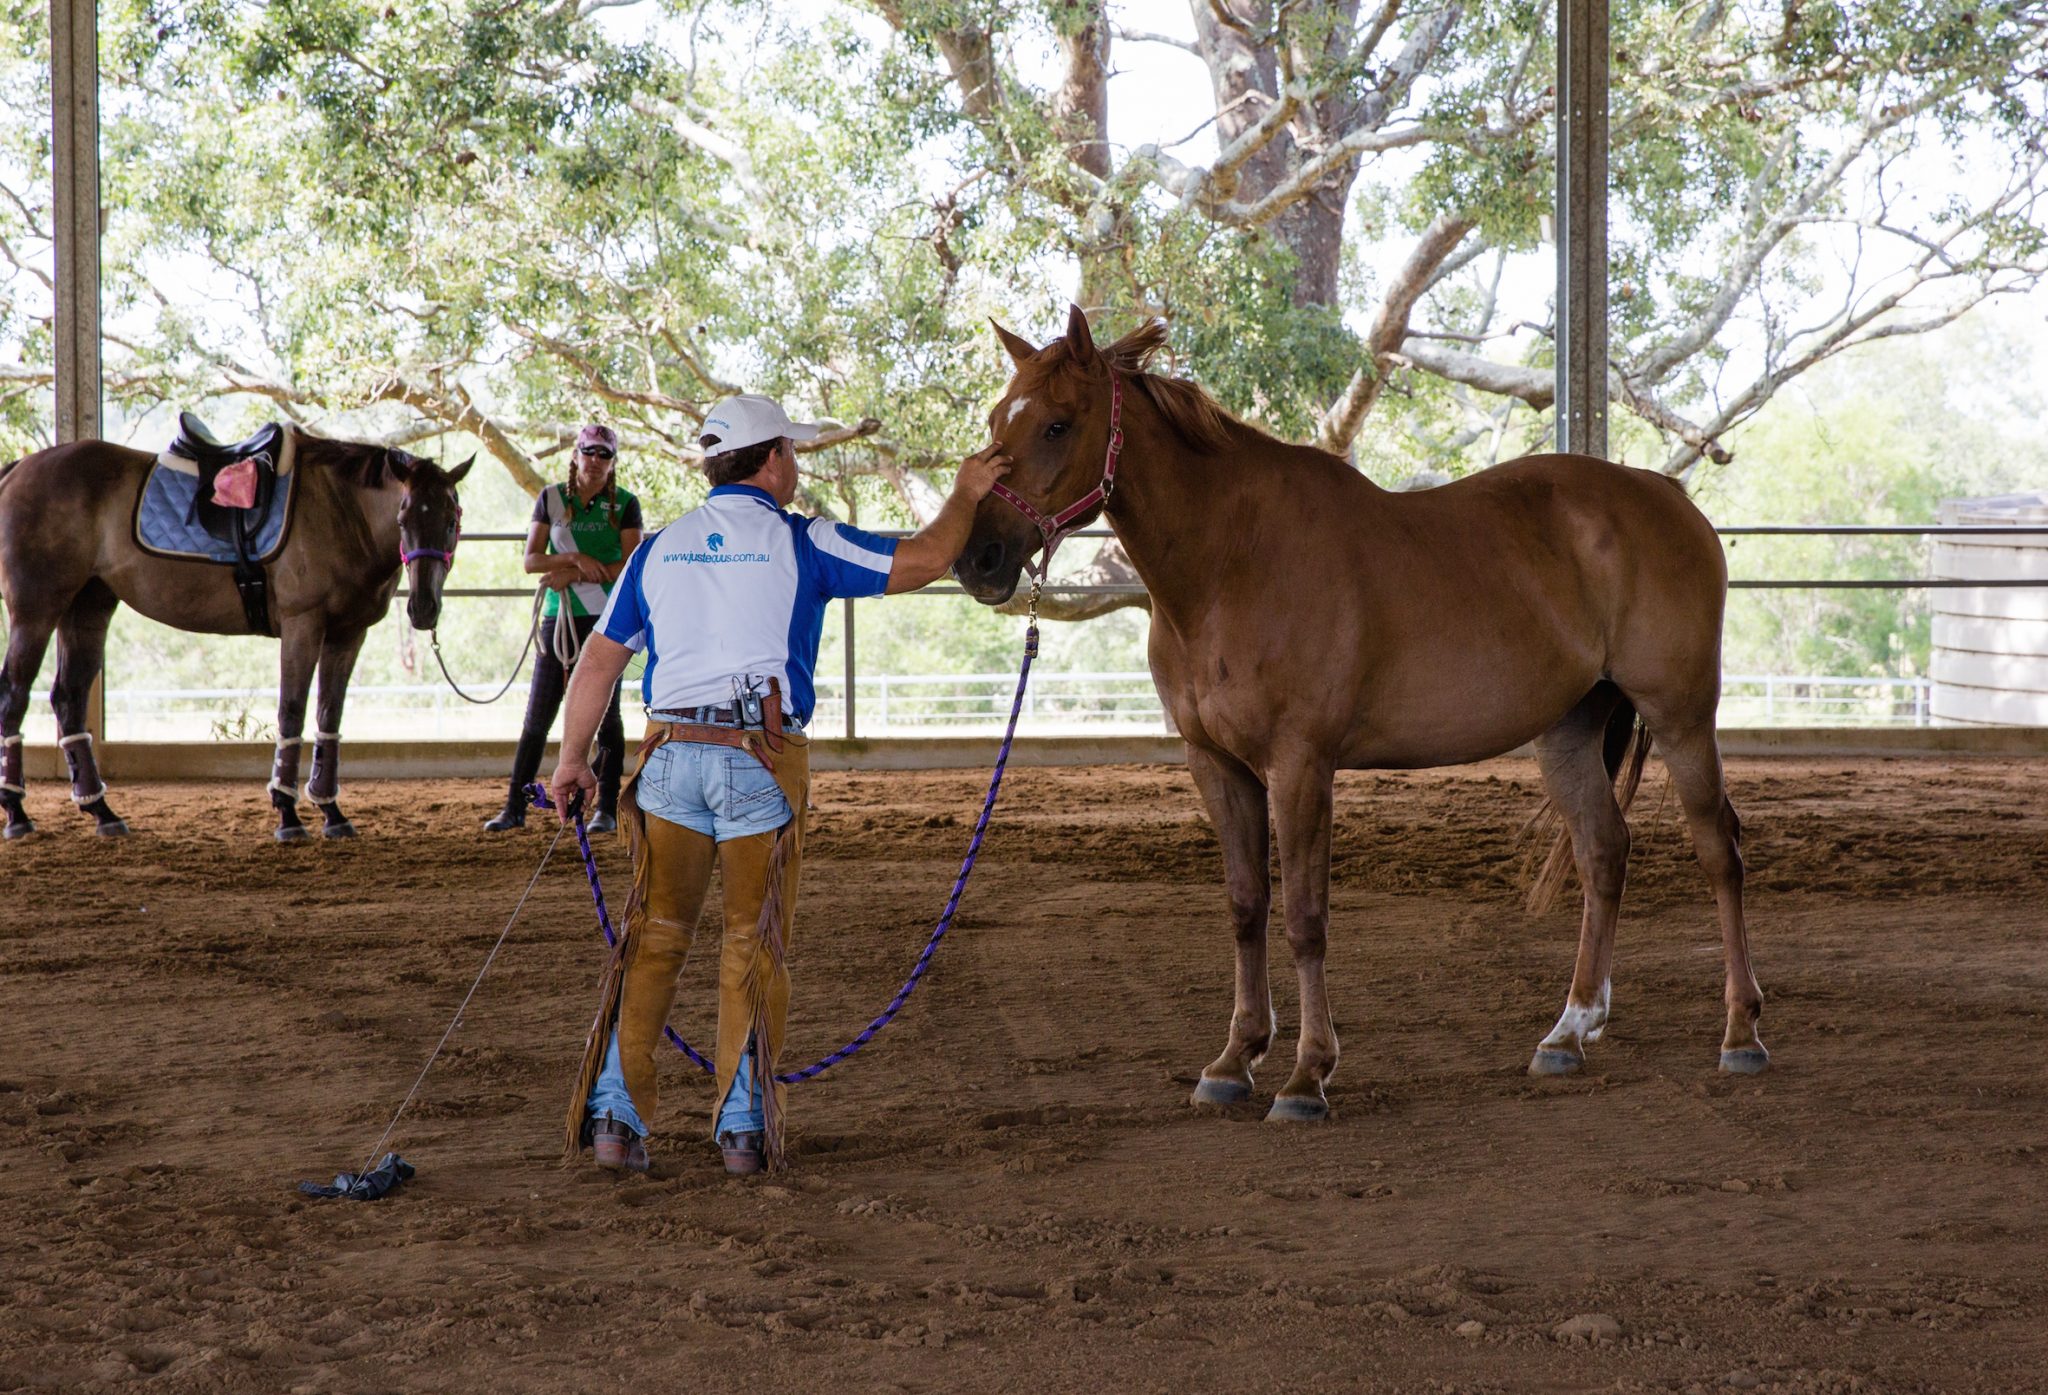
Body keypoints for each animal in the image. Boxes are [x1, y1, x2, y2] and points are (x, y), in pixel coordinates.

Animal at [0, 428, 470, 842]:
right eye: (403, 517)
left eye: (452, 521)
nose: (423, 609)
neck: (341, 511)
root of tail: (21, 468)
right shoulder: (303, 625)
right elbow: (292, 712)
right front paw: (287, 814)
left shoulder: (347, 635)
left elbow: (328, 718)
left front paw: (331, 811)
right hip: (36, 611)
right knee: (14, 696)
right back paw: (17, 813)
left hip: (87, 608)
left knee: (68, 699)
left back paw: (101, 811)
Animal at [955, 306, 1764, 1121]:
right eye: (997, 420)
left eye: (1057, 425)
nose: (977, 558)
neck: (1231, 561)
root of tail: (1668, 495)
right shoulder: (1216, 765)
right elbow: (1247, 906)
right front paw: (1234, 1059)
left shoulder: (1300, 766)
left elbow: (1305, 918)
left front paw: (1306, 1075)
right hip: (1568, 731)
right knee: (1603, 852)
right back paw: (1568, 1032)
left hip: (1682, 716)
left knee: (1718, 851)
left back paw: (1740, 1033)